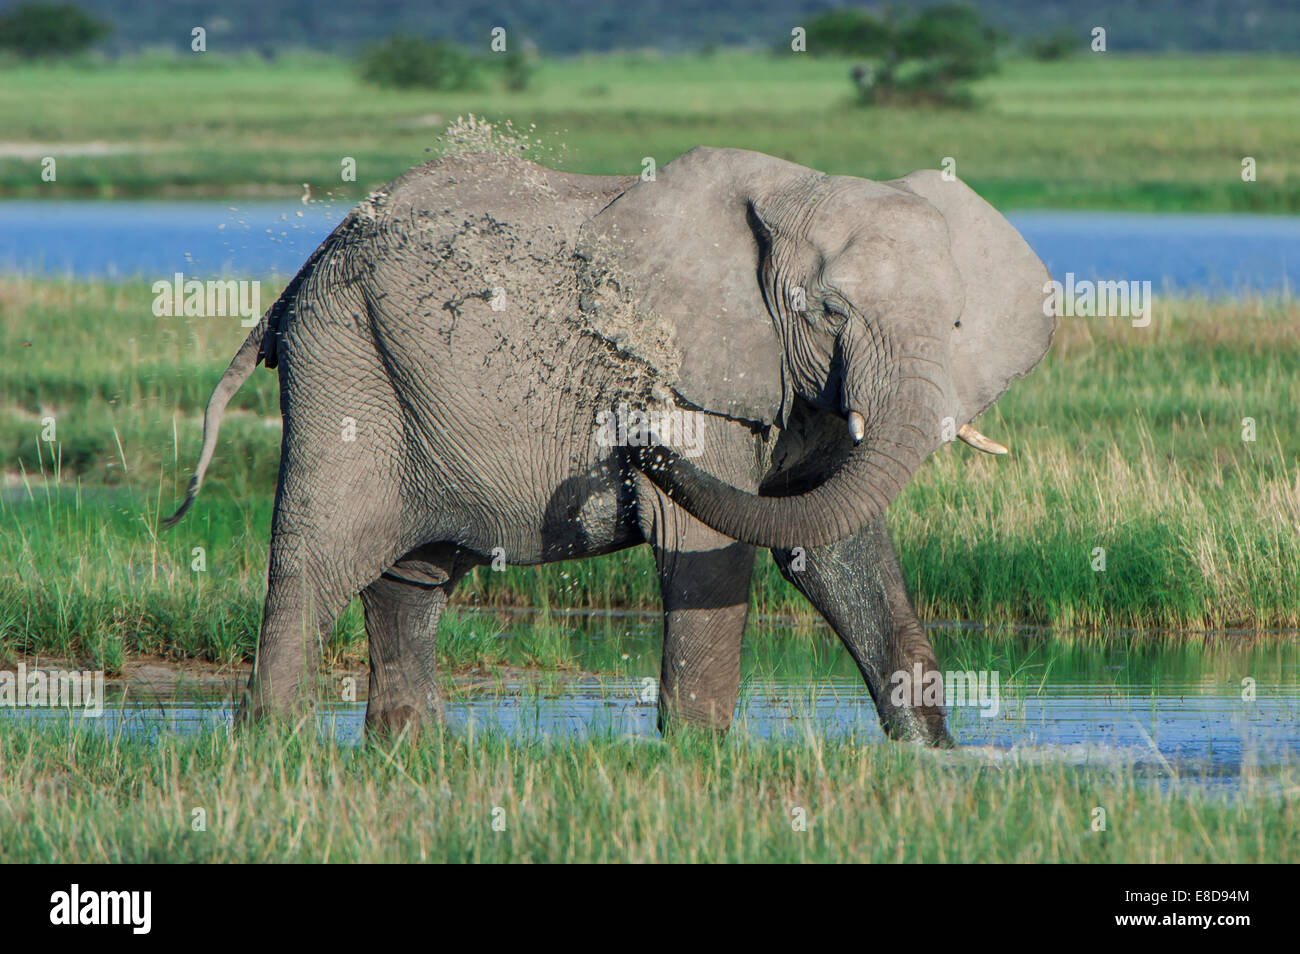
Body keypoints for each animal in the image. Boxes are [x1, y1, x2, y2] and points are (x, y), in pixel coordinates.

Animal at [166, 146, 1055, 746]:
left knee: (410, 580)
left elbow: (836, 549)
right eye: (830, 312)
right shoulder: (689, 376)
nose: (631, 438)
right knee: (315, 561)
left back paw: (408, 749)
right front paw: (698, 759)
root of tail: (295, 280)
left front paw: (934, 758)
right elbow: (706, 547)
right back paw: (275, 746)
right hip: (343, 367)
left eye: (957, 323)